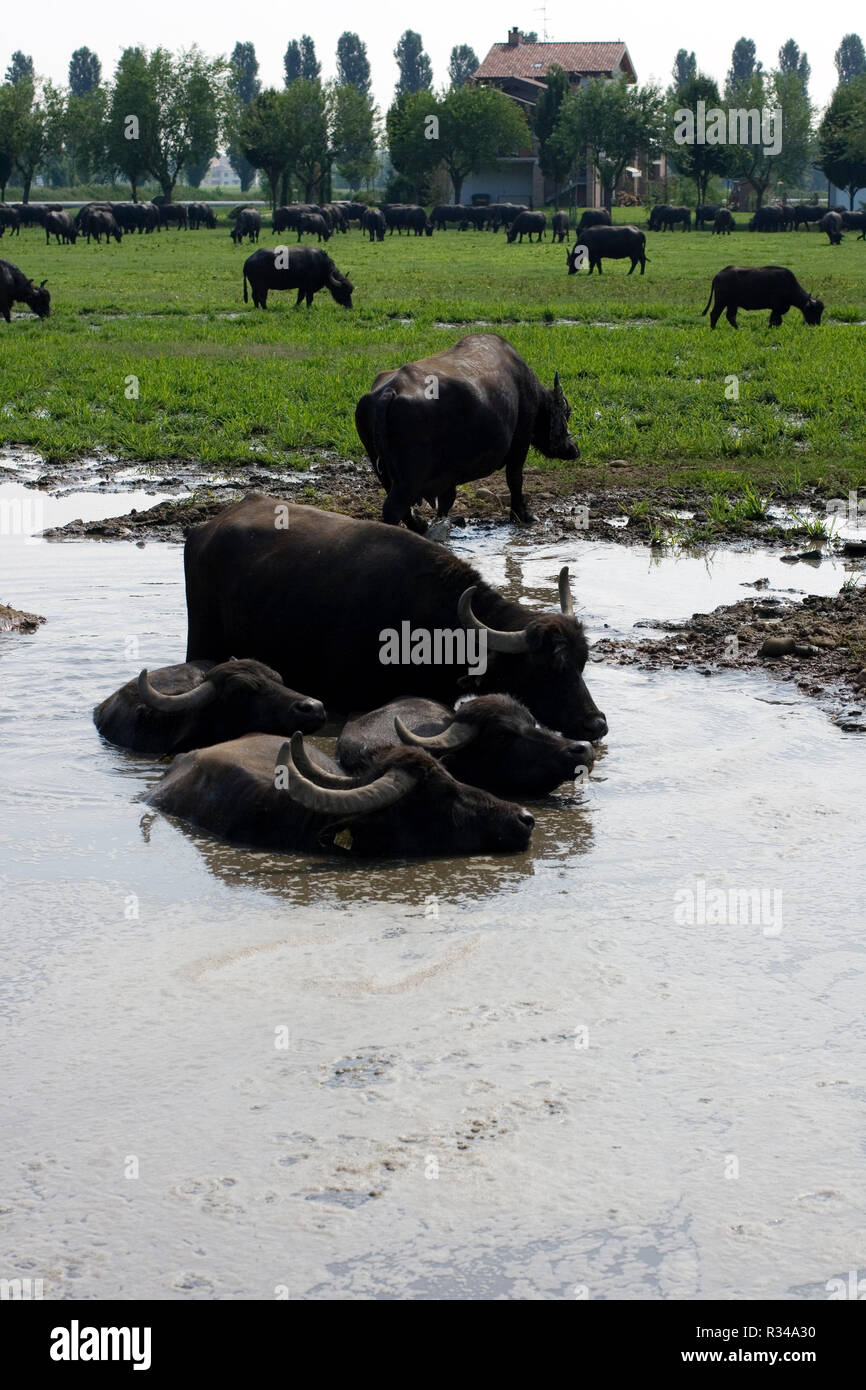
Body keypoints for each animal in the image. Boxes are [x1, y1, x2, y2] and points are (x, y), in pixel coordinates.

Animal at [355, 333, 577, 529]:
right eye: (566, 414)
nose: (573, 449)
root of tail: (390, 390)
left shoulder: (448, 474)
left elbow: (446, 500)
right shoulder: (520, 442)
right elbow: (515, 479)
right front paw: (522, 514)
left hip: (382, 470)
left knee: (402, 507)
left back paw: (420, 525)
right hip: (408, 479)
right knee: (393, 508)